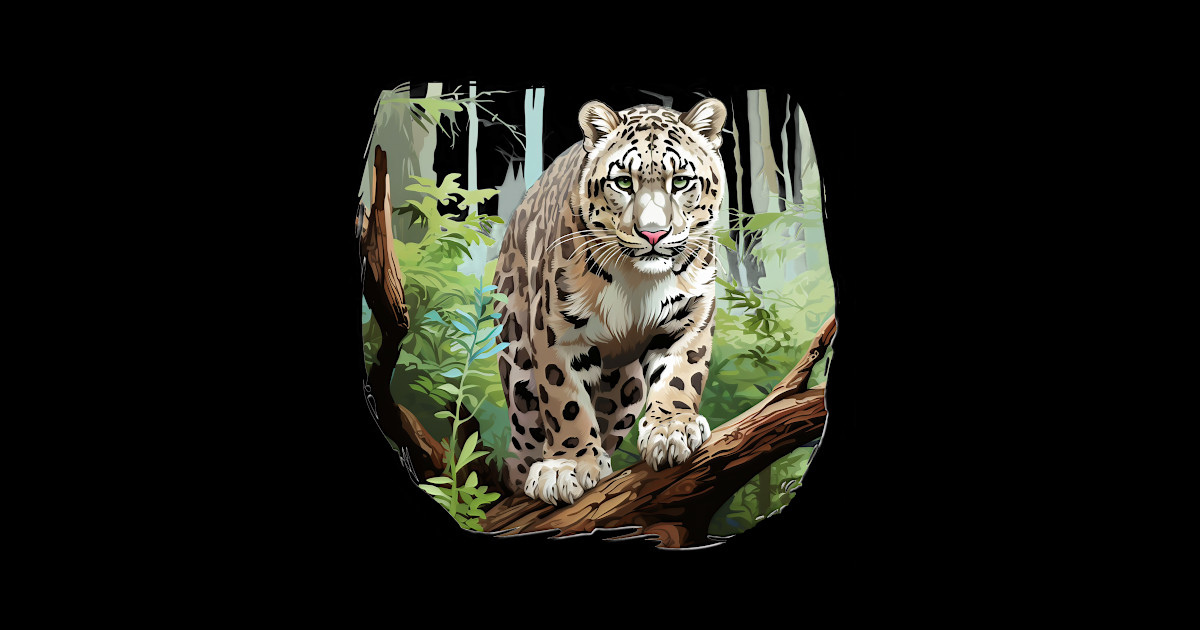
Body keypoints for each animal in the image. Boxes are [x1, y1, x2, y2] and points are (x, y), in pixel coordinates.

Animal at [492, 98, 727, 506]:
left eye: (681, 181)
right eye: (623, 182)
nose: (653, 233)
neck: (638, 281)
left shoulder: (690, 316)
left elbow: (682, 376)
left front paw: (672, 430)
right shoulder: (556, 332)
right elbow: (566, 403)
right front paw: (566, 465)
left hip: (623, 390)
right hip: (519, 374)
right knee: (525, 441)